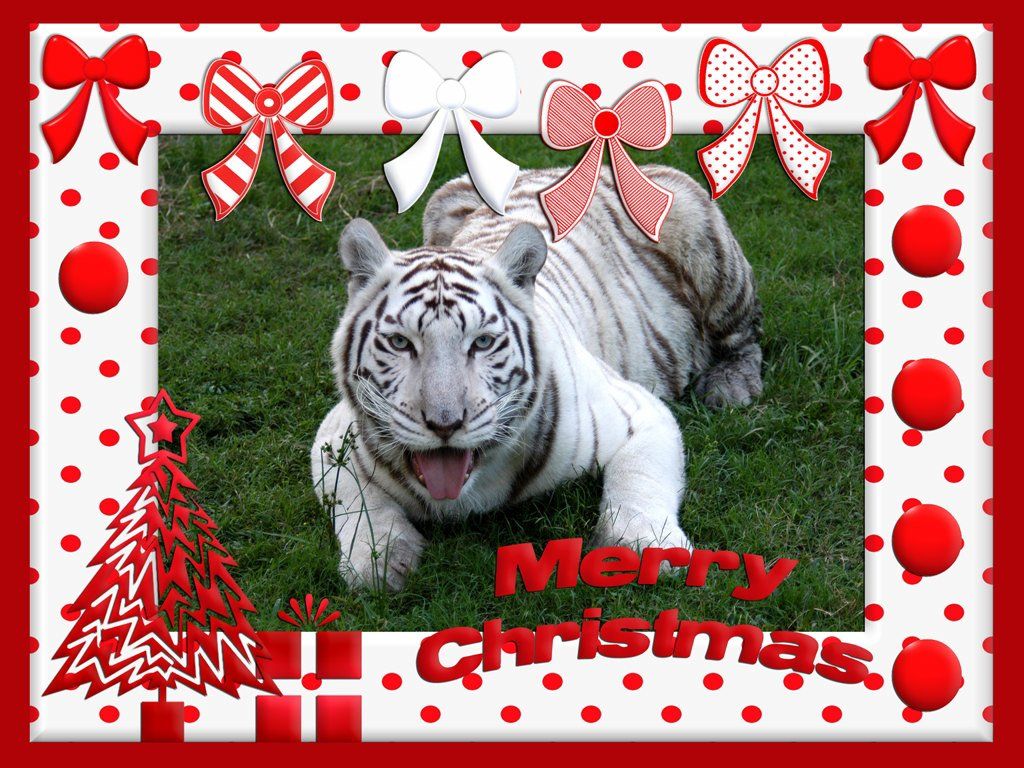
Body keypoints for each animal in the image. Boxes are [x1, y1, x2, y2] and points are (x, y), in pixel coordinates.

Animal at [312, 165, 763, 591]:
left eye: (483, 342)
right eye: (400, 342)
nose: (445, 424)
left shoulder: (640, 413)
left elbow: (639, 482)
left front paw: (646, 548)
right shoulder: (334, 440)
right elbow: (357, 504)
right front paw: (381, 559)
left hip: (705, 244)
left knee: (747, 333)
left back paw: (730, 386)